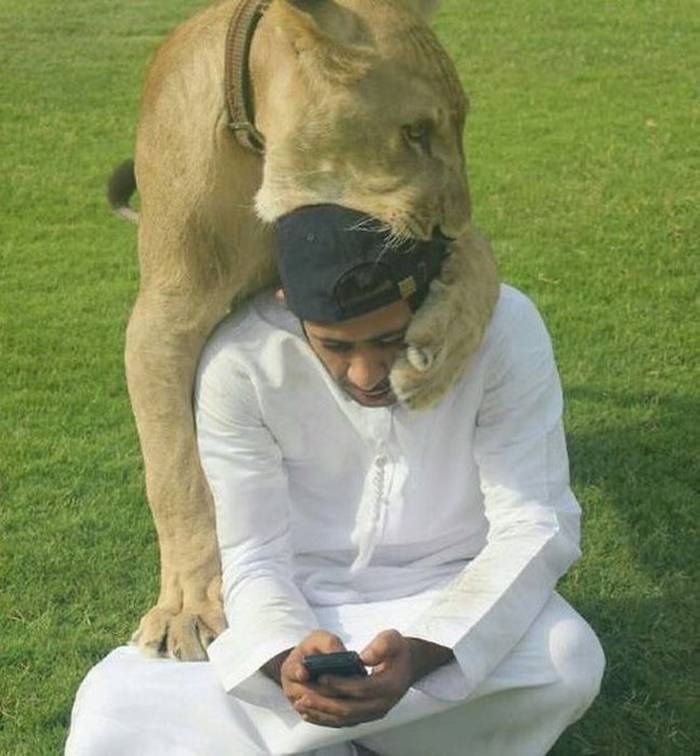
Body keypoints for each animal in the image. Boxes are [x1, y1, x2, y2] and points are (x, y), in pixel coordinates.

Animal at [111, 0, 499, 661]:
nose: (447, 226)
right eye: (414, 132)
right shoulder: (164, 318)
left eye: (462, 123)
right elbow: (176, 473)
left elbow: (485, 268)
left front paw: (432, 358)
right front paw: (187, 609)